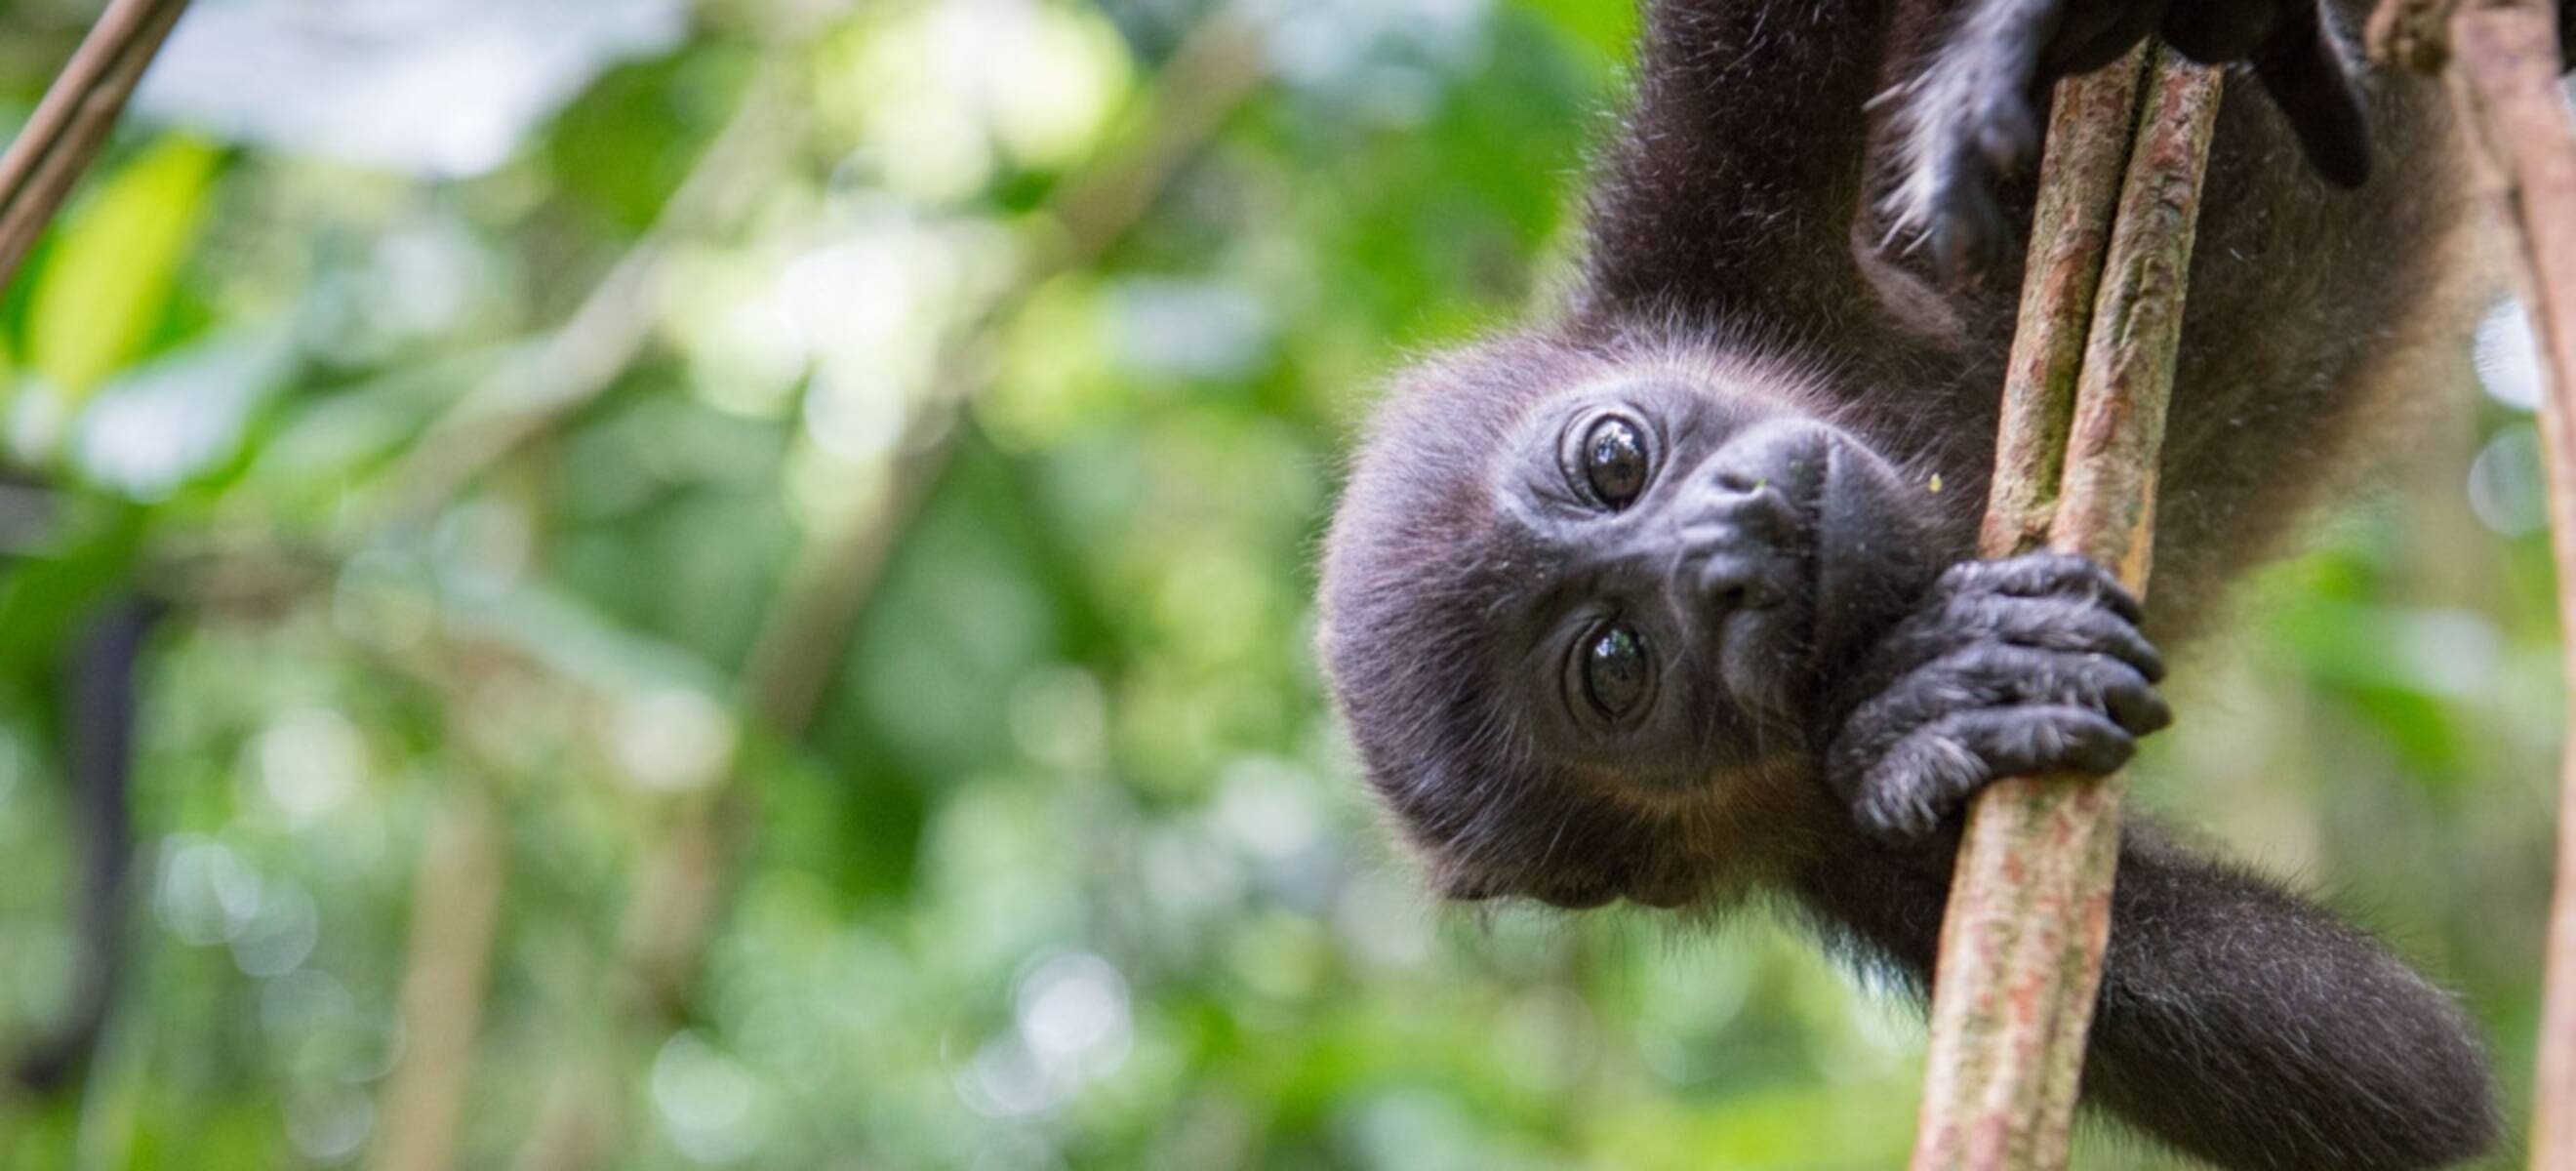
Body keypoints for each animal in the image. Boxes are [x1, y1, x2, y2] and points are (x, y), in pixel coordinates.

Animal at [1317, 1, 2520, 1167]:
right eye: (1615, 665)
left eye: (1613, 458)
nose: (1733, 539)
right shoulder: (1831, 864)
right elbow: (2403, 1075)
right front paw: (1913, 720)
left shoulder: (1700, 233)